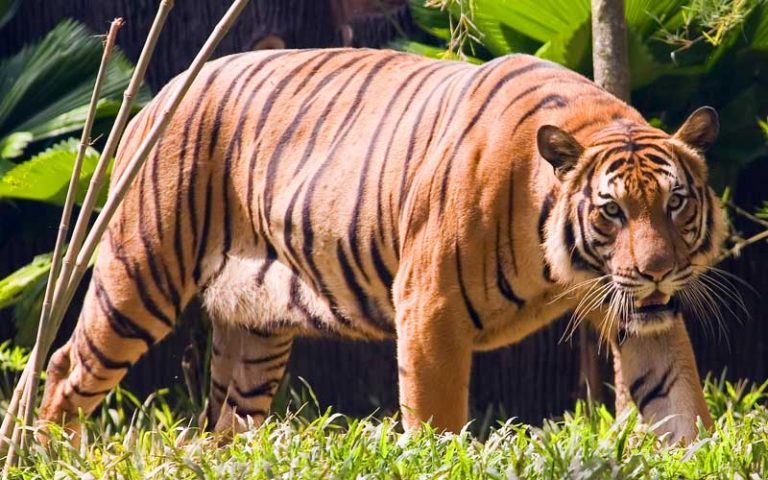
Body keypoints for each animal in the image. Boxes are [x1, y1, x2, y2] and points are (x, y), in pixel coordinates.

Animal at [38, 48, 725, 444]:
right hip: (140, 277)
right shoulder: (430, 307)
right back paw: (46, 451)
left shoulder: (642, 317)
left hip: (254, 332)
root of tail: (156, 97)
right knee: (65, 366)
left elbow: (677, 403)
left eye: (675, 203)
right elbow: (436, 420)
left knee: (227, 419)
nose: (658, 272)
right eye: (612, 211)